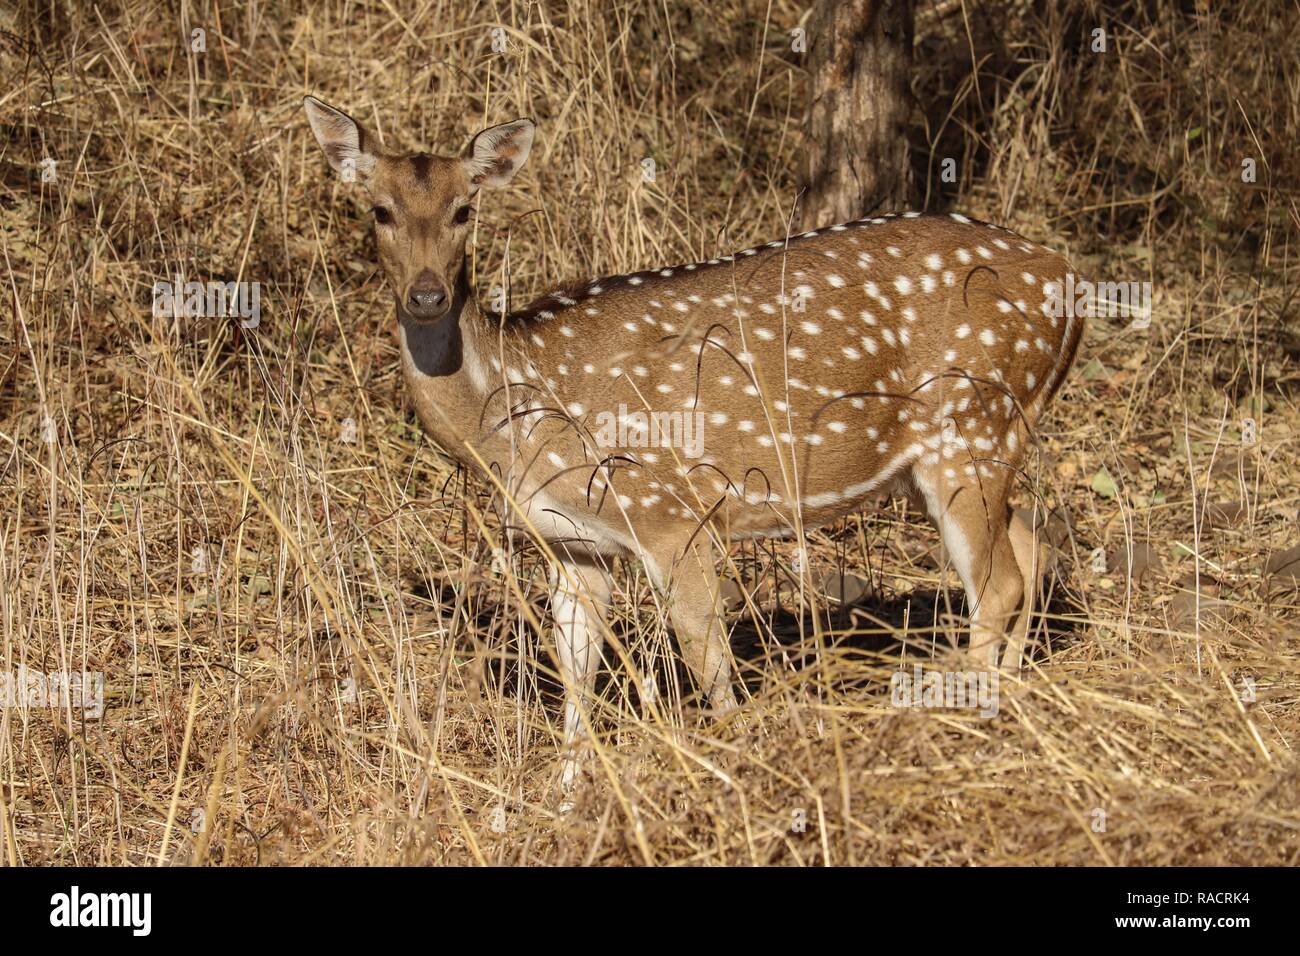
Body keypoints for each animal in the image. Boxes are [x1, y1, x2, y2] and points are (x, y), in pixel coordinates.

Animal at [303, 96, 1084, 806]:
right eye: (379, 210)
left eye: (466, 209)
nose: (427, 295)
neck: (514, 416)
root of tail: (1069, 280)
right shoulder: (573, 544)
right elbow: (578, 674)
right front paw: (566, 796)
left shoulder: (674, 514)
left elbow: (709, 667)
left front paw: (728, 775)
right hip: (968, 450)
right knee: (1032, 547)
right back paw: (1010, 703)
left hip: (971, 425)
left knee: (999, 583)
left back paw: (962, 725)